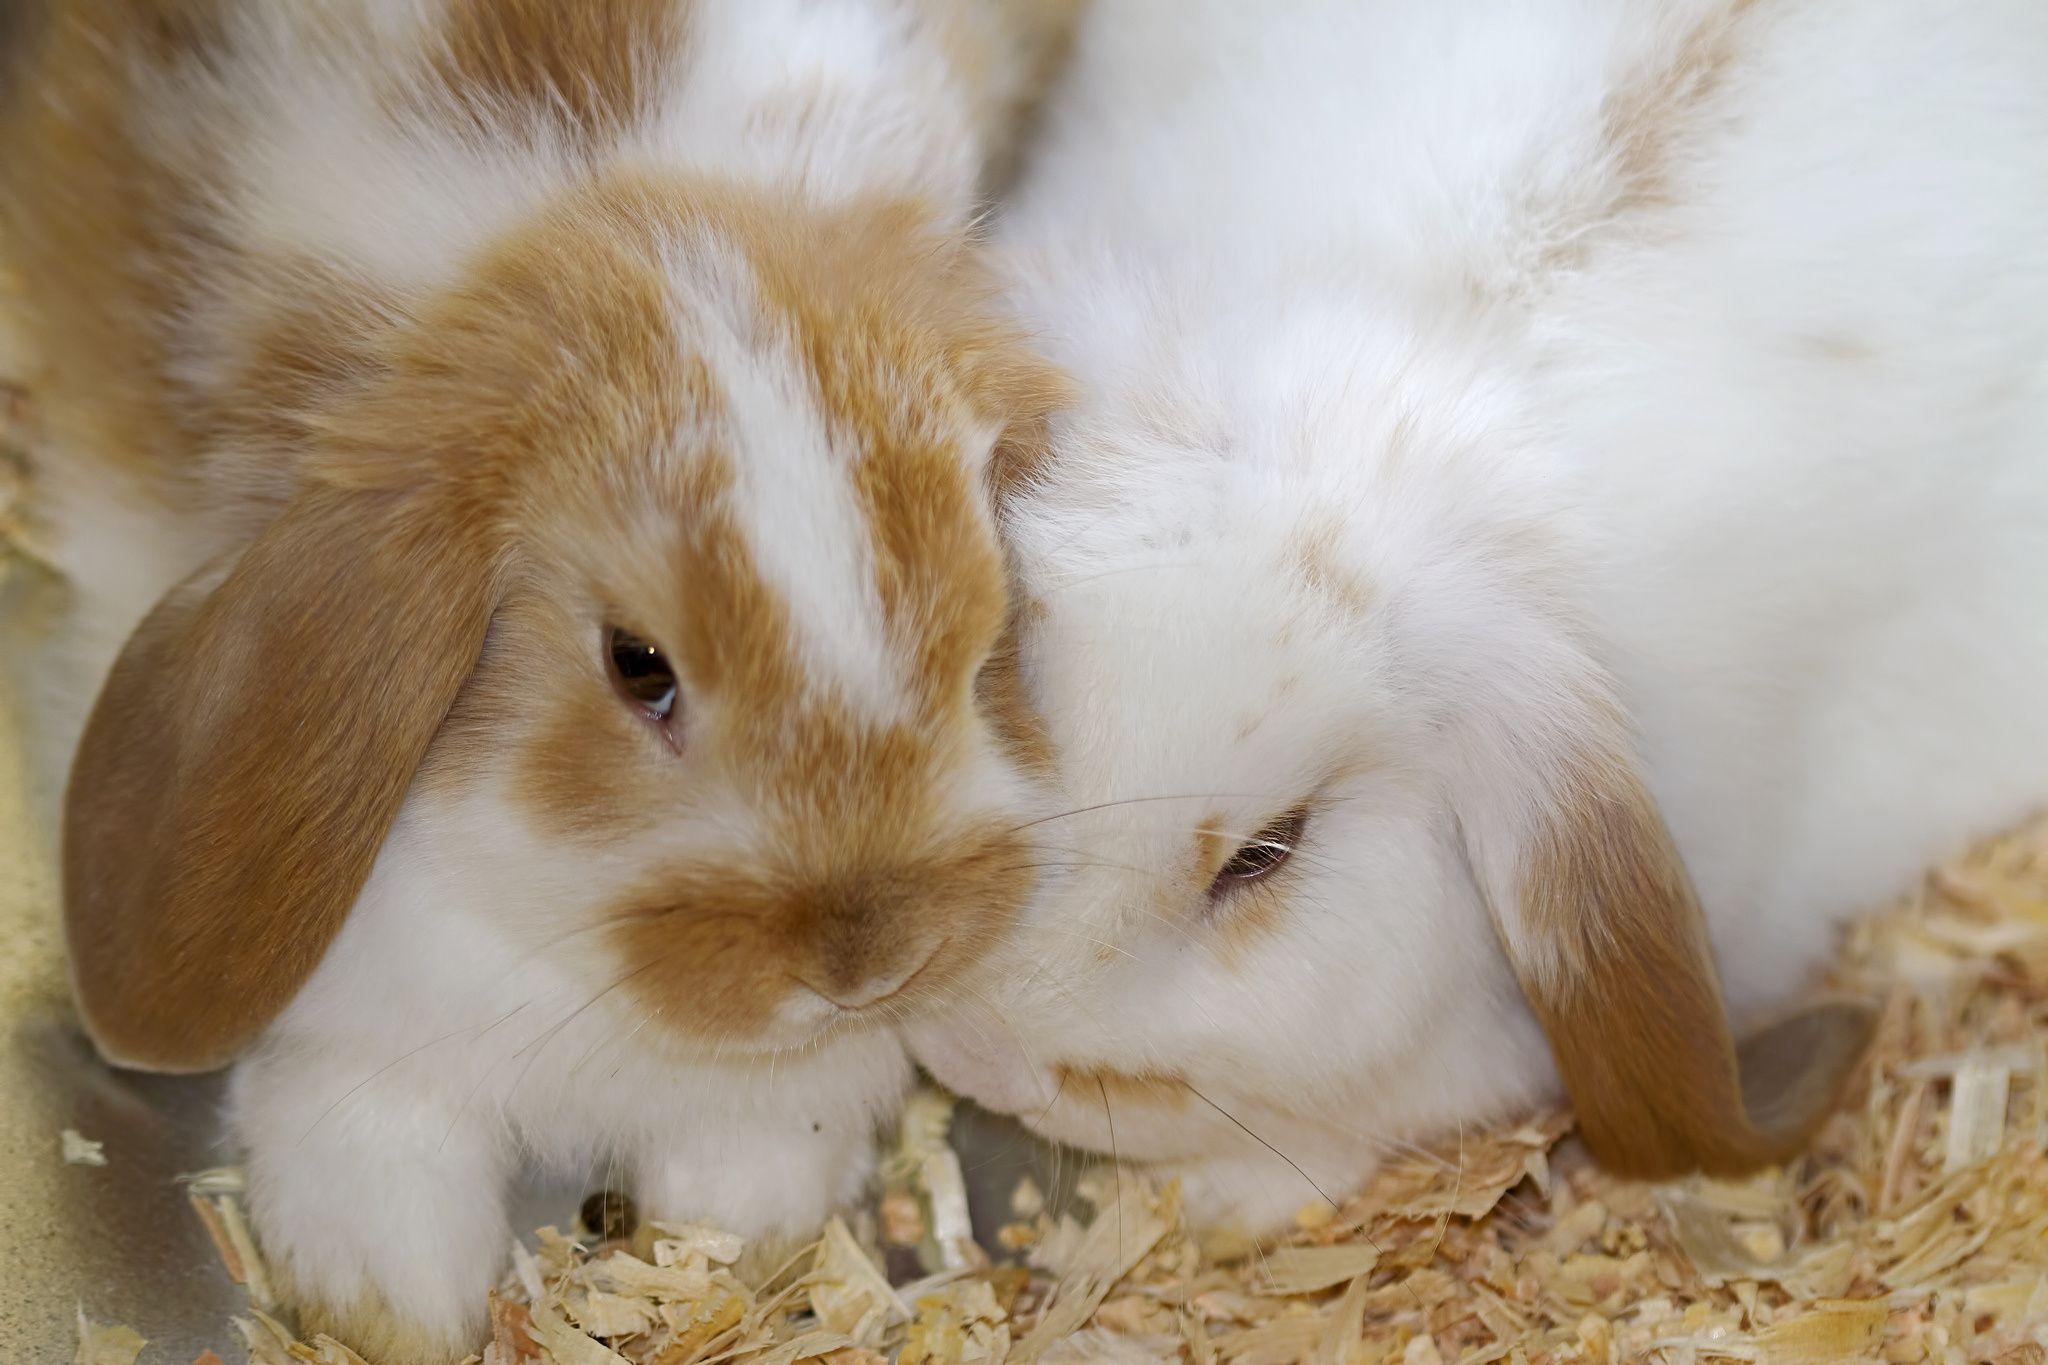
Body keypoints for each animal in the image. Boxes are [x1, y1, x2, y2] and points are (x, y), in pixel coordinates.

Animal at [0, 0, 1071, 1355]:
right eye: (637, 665)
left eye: (983, 636)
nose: (861, 964)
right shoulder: (370, 1028)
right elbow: (377, 1158)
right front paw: (395, 1309)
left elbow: (755, 1164)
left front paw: (734, 1238)